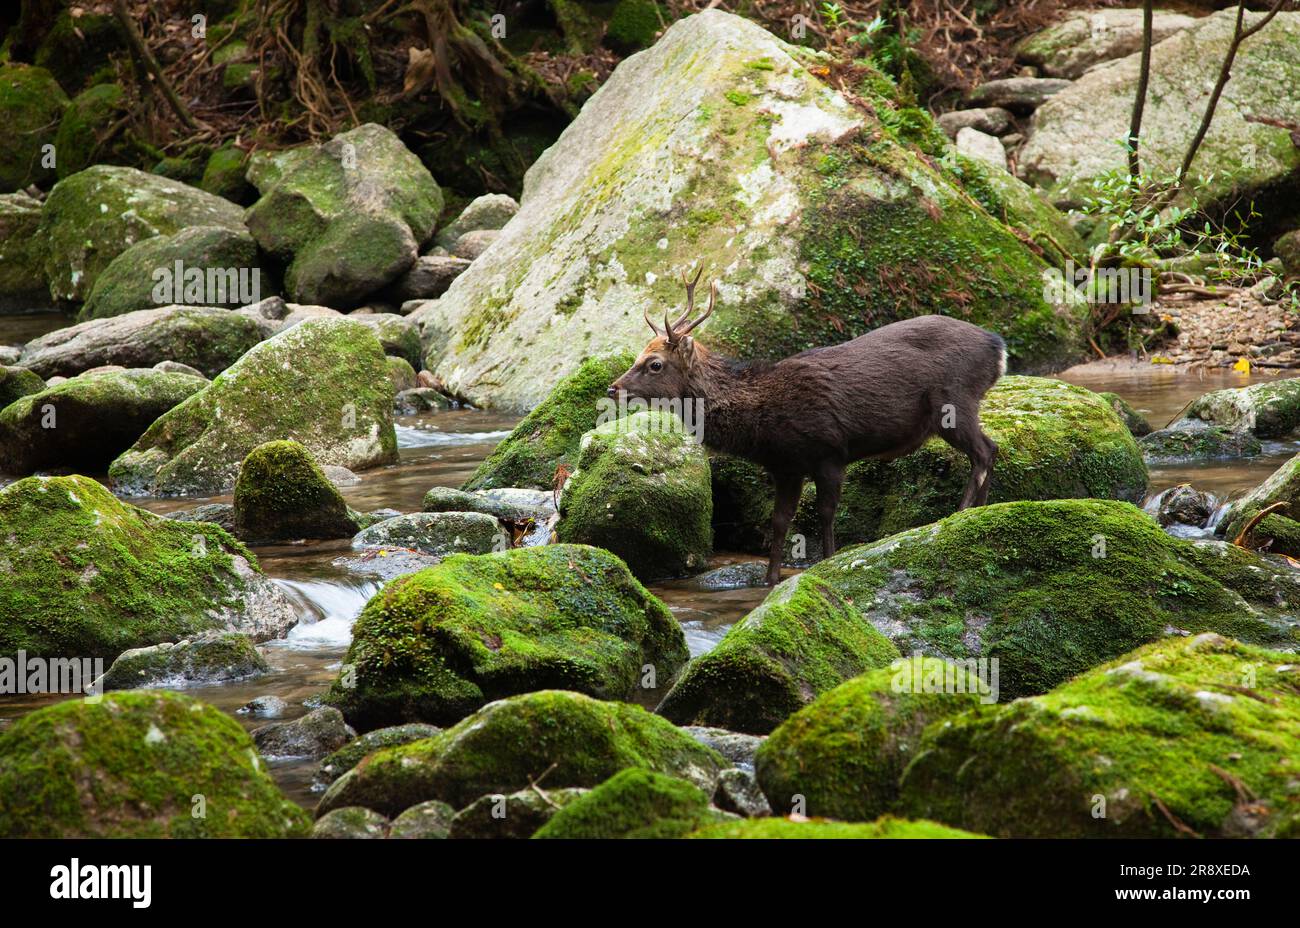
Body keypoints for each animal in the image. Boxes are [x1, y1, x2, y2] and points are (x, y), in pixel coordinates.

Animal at [609, 269, 1007, 586]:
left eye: (654, 364)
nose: (613, 388)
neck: (760, 421)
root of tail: (998, 348)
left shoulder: (829, 451)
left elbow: (826, 513)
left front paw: (826, 561)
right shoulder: (786, 466)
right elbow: (780, 519)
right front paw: (770, 579)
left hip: (953, 400)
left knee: (983, 451)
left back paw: (959, 512)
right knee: (990, 449)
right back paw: (980, 511)